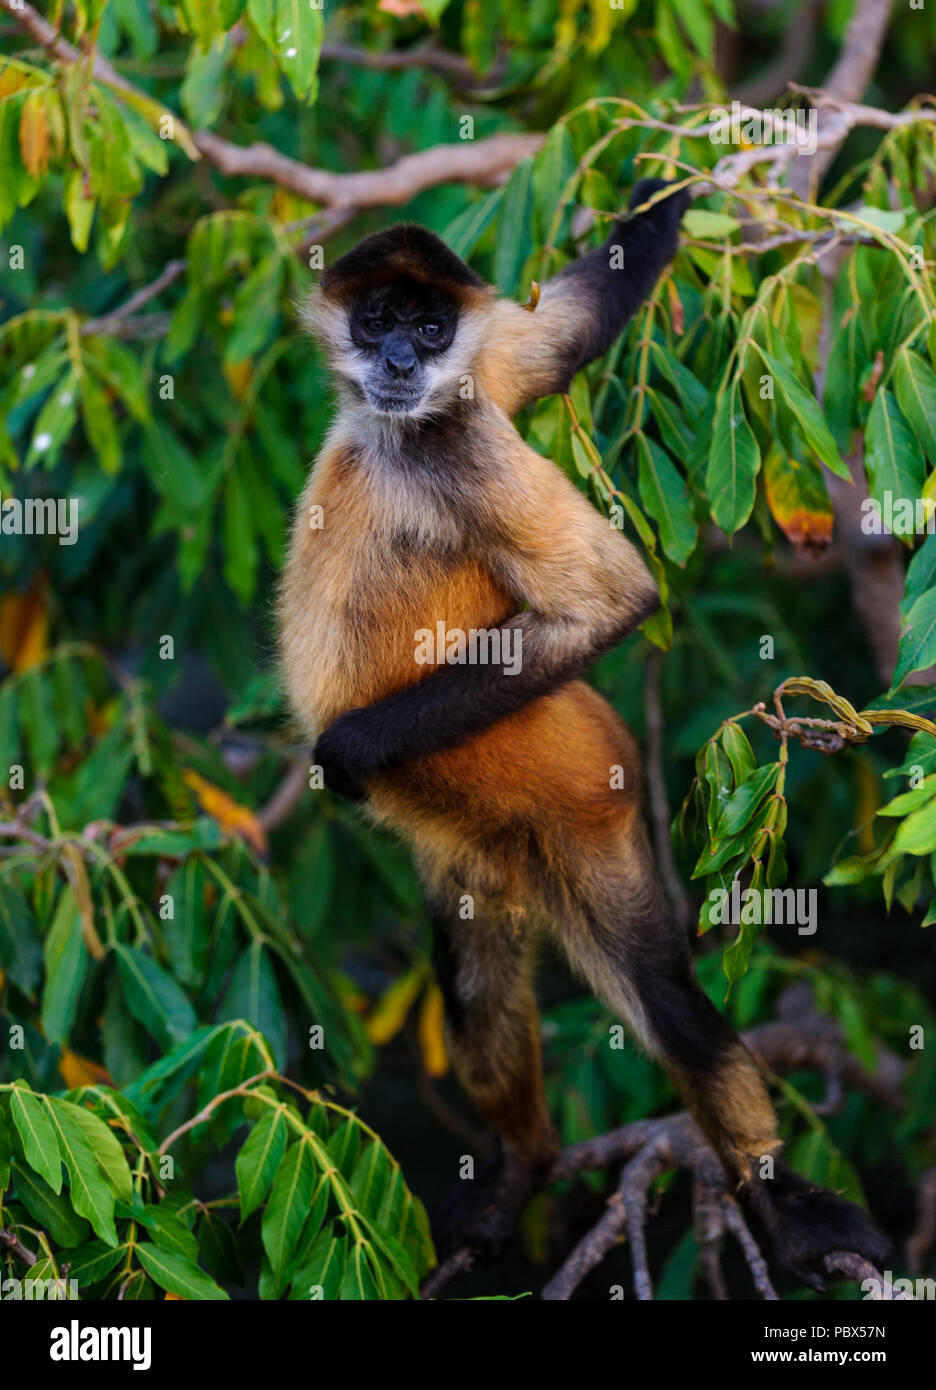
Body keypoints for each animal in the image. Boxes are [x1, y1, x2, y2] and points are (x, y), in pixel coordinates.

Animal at [279, 178, 890, 1290]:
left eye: (429, 330)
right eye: (380, 321)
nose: (401, 367)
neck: (396, 431)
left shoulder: (459, 437)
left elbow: (613, 600)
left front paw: (342, 753)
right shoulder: (478, 392)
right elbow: (555, 335)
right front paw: (674, 187)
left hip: (587, 802)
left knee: (671, 1006)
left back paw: (780, 1209)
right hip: (471, 849)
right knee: (474, 981)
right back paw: (525, 1160)